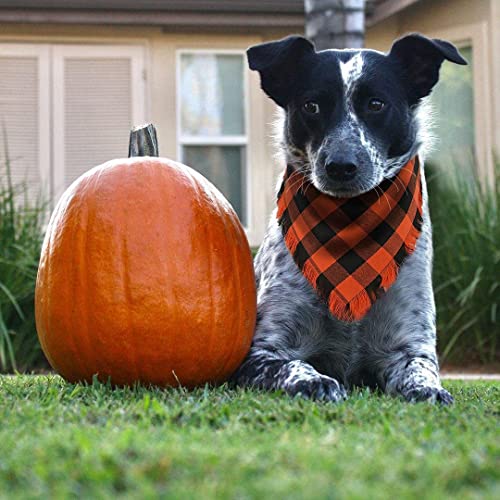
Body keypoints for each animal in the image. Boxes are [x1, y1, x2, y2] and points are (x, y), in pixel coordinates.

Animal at [232, 34, 466, 402]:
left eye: (376, 104)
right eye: (311, 106)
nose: (341, 166)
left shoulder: (409, 345)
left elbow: (421, 370)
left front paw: (428, 390)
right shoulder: (263, 351)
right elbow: (293, 365)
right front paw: (313, 380)